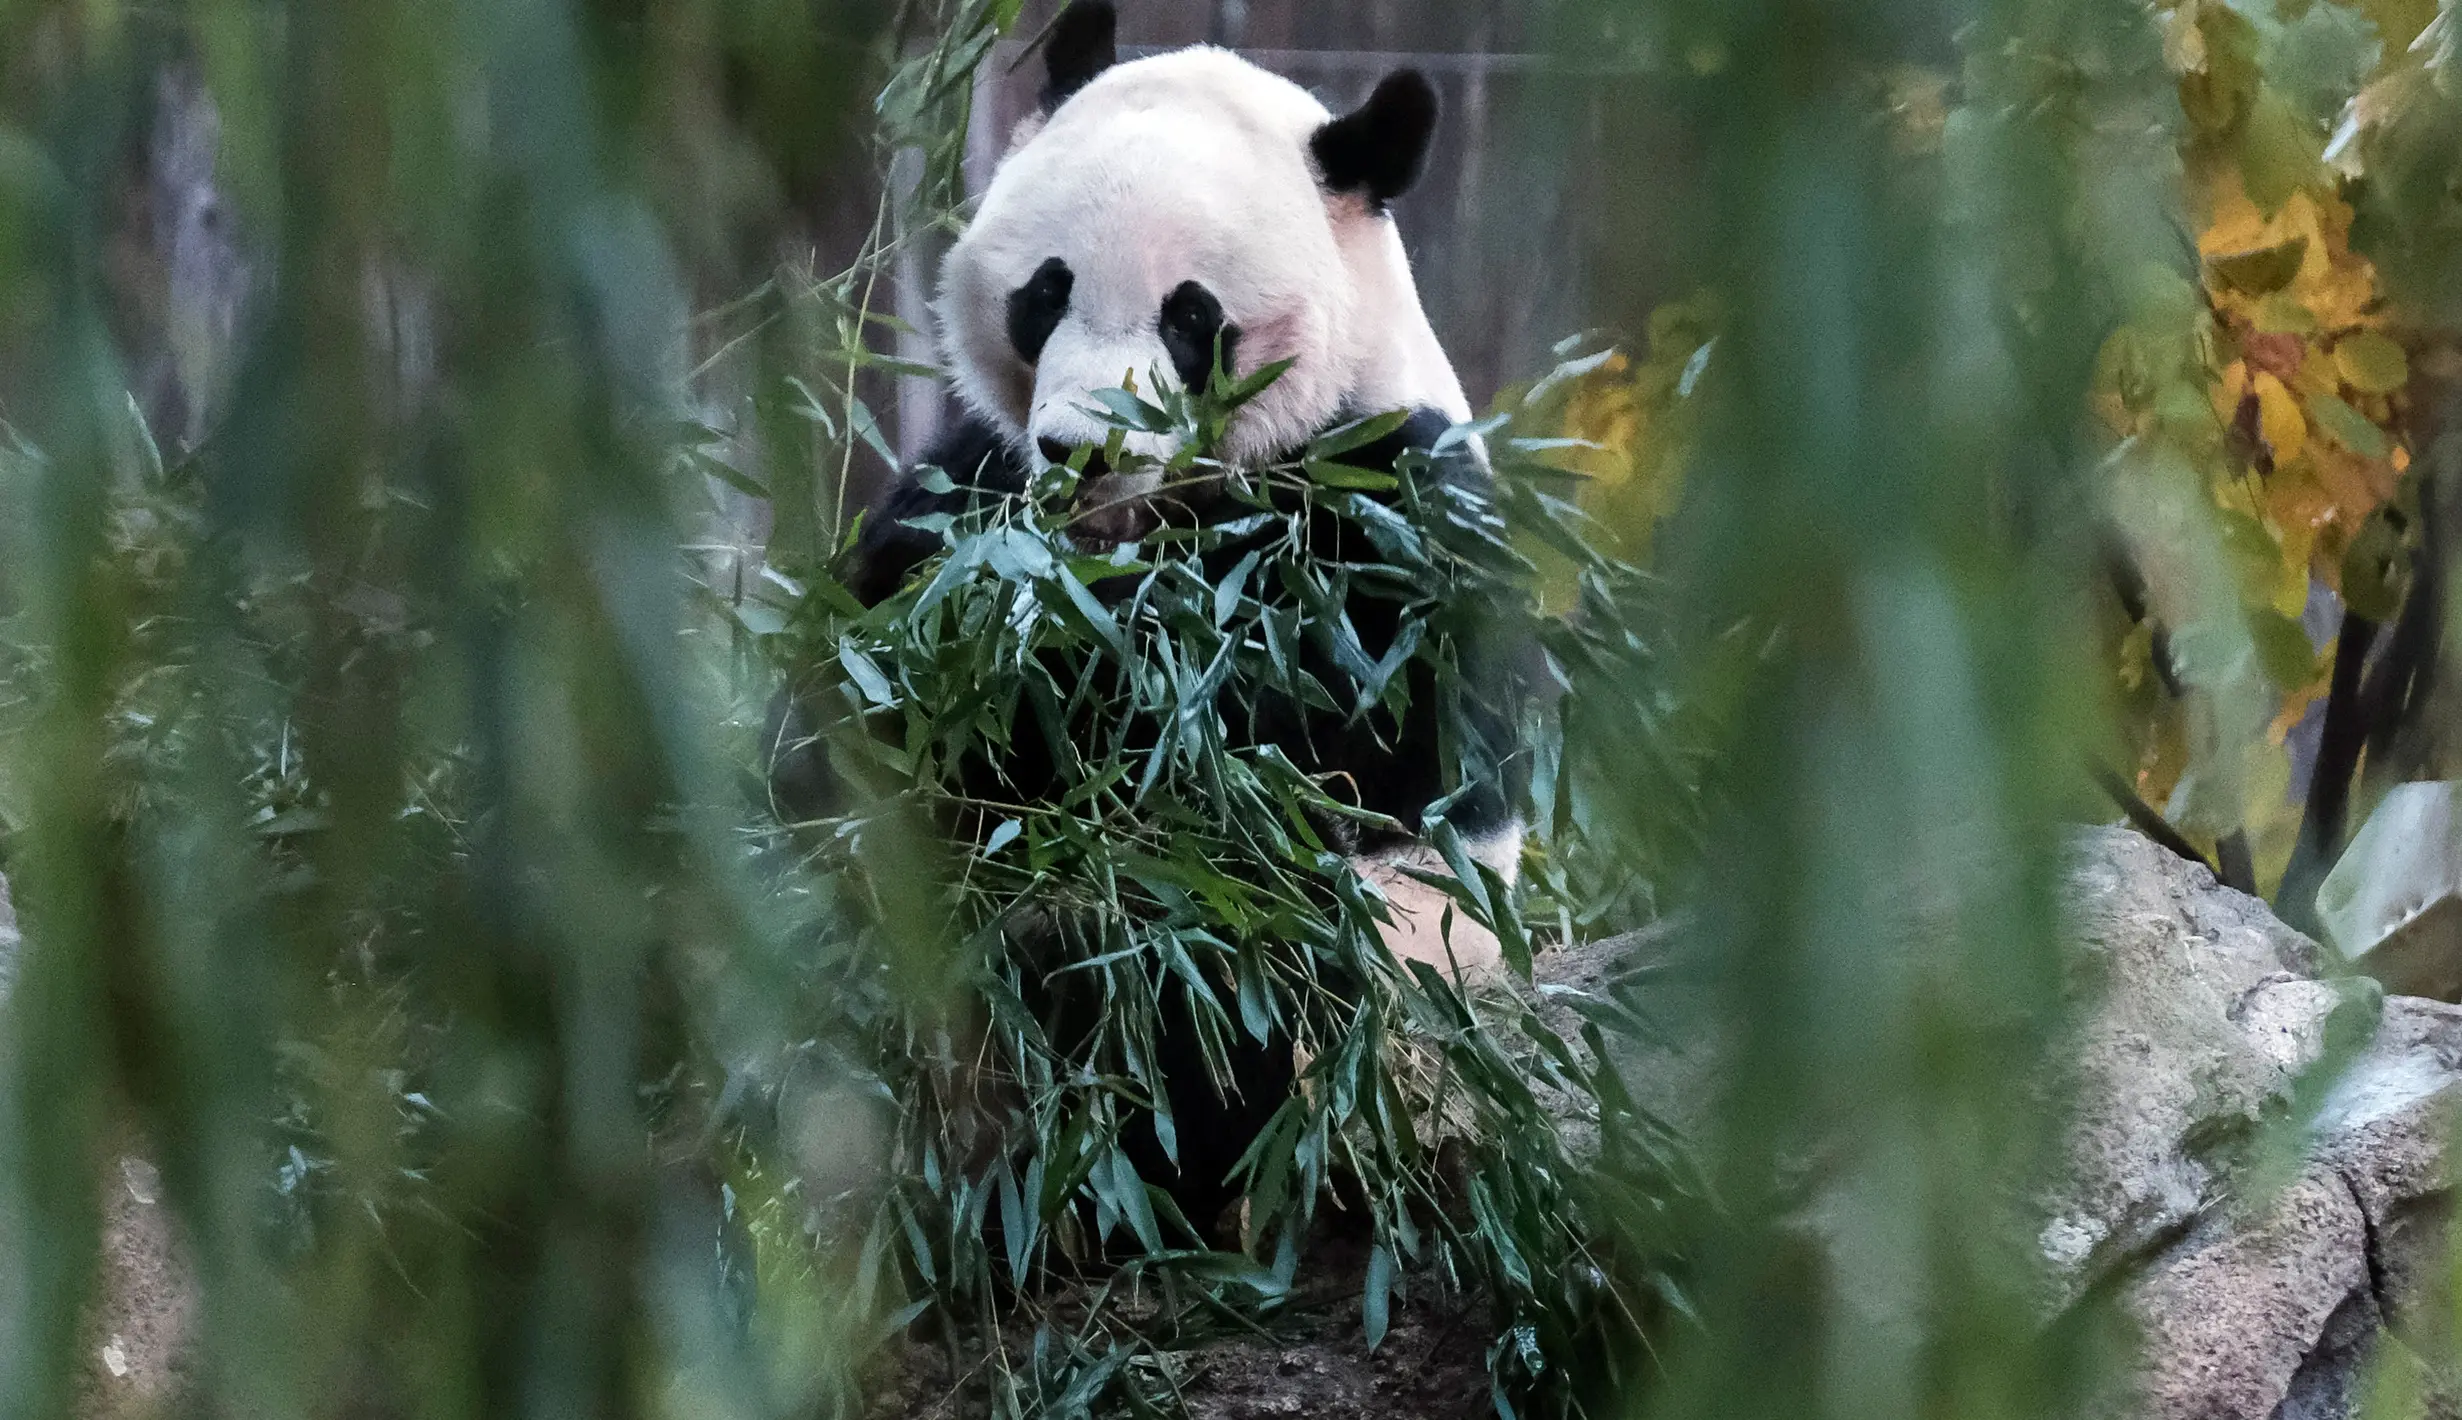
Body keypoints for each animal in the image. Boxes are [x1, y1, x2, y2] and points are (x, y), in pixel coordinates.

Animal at [798, 1, 1528, 1233]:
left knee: (1202, 990)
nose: (1080, 453)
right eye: (1045, 292)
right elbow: (873, 702)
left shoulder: (1374, 521)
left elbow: (1281, 746)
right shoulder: (975, 481)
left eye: (1193, 317)